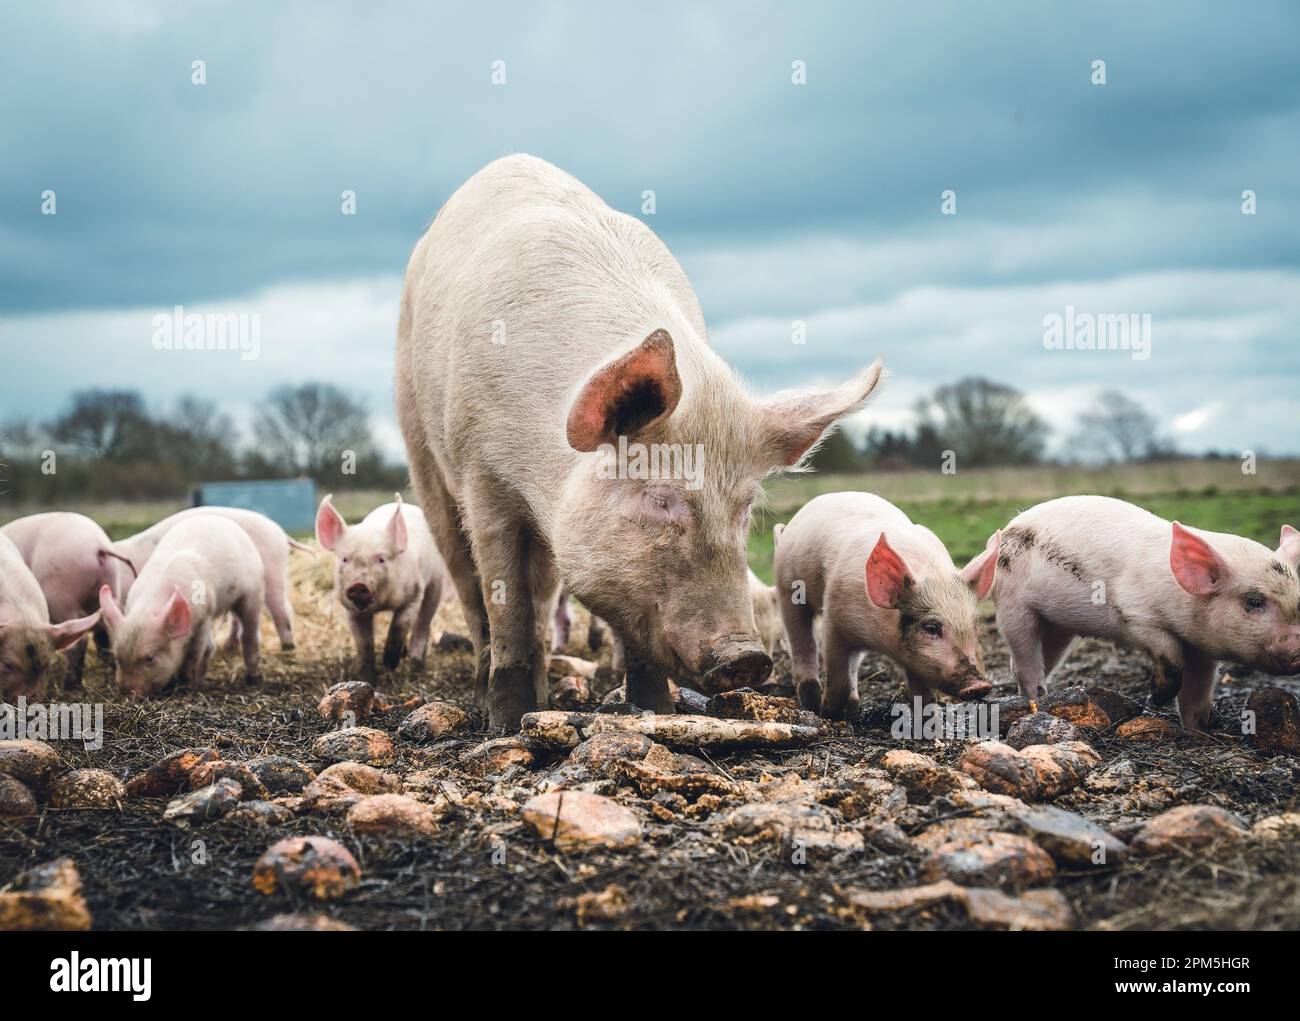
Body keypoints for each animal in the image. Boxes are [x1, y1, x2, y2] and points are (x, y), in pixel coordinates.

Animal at [98, 515, 265, 696]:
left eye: (150, 658)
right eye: (117, 657)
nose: (127, 691)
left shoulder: (204, 616)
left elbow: (193, 654)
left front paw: (186, 685)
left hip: (253, 592)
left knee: (249, 634)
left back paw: (253, 678)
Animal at [315, 494, 447, 683]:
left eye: (381, 559)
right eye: (345, 559)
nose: (358, 585)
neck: (383, 604)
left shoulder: (413, 595)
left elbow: (399, 627)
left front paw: (390, 664)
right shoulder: (352, 610)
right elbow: (364, 645)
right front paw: (368, 678)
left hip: (436, 581)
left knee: (424, 621)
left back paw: (416, 666)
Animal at [395, 154, 882, 730]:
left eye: (744, 508)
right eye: (659, 498)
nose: (747, 657)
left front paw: (656, 712)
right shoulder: (482, 472)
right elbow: (505, 601)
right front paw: (508, 724)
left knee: (542, 596)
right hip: (421, 446)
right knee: (469, 583)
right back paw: (484, 697)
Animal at [773, 493, 998, 720]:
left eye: (975, 625)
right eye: (931, 628)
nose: (979, 685)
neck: (881, 641)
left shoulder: (915, 659)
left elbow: (923, 694)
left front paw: (929, 722)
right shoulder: (834, 620)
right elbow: (837, 676)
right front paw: (829, 714)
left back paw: (854, 709)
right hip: (787, 588)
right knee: (802, 641)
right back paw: (812, 703)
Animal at [990, 495, 1300, 730]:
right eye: (1255, 602)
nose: (1298, 650)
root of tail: (1008, 527)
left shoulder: (1202, 648)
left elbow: (1198, 691)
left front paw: (1198, 730)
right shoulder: (1135, 616)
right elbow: (1171, 657)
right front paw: (1157, 699)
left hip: (1058, 626)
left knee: (1033, 662)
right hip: (1013, 606)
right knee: (1025, 661)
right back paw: (1037, 700)